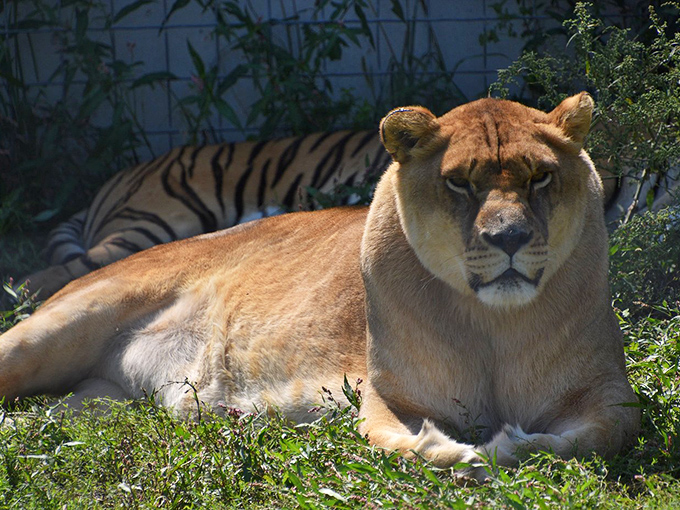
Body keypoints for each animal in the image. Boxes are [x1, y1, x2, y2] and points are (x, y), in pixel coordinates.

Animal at [0, 93, 639, 479]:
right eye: (459, 183)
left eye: (539, 178)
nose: (508, 236)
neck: (493, 326)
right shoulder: (386, 396)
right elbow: (396, 442)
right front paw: (454, 452)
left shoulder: (609, 394)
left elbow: (599, 436)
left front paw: (512, 446)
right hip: (60, 324)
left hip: (93, 404)